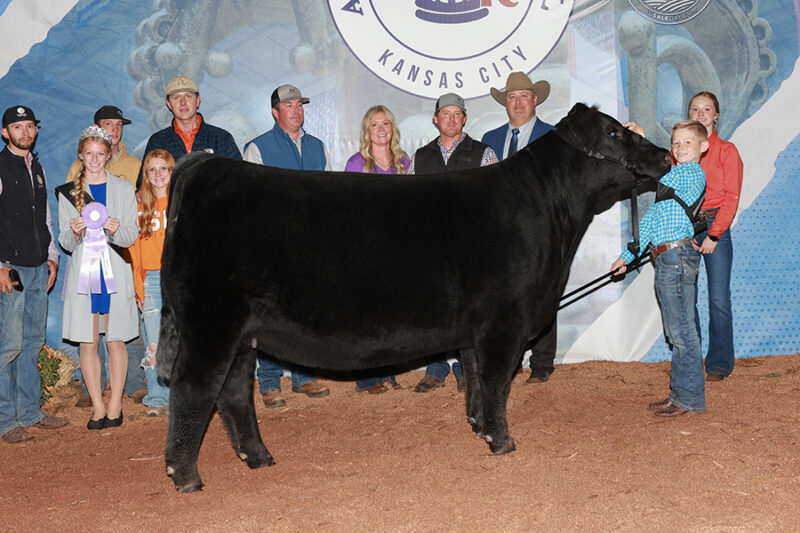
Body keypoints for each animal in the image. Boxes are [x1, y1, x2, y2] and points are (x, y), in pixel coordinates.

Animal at [157, 103, 671, 492]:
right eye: (614, 132)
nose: (665, 153)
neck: (549, 211)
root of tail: (205, 165)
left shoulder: (476, 329)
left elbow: (477, 379)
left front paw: (478, 427)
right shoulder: (505, 321)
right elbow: (497, 381)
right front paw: (501, 441)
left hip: (242, 334)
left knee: (233, 394)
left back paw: (258, 457)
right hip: (211, 324)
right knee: (194, 388)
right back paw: (185, 476)